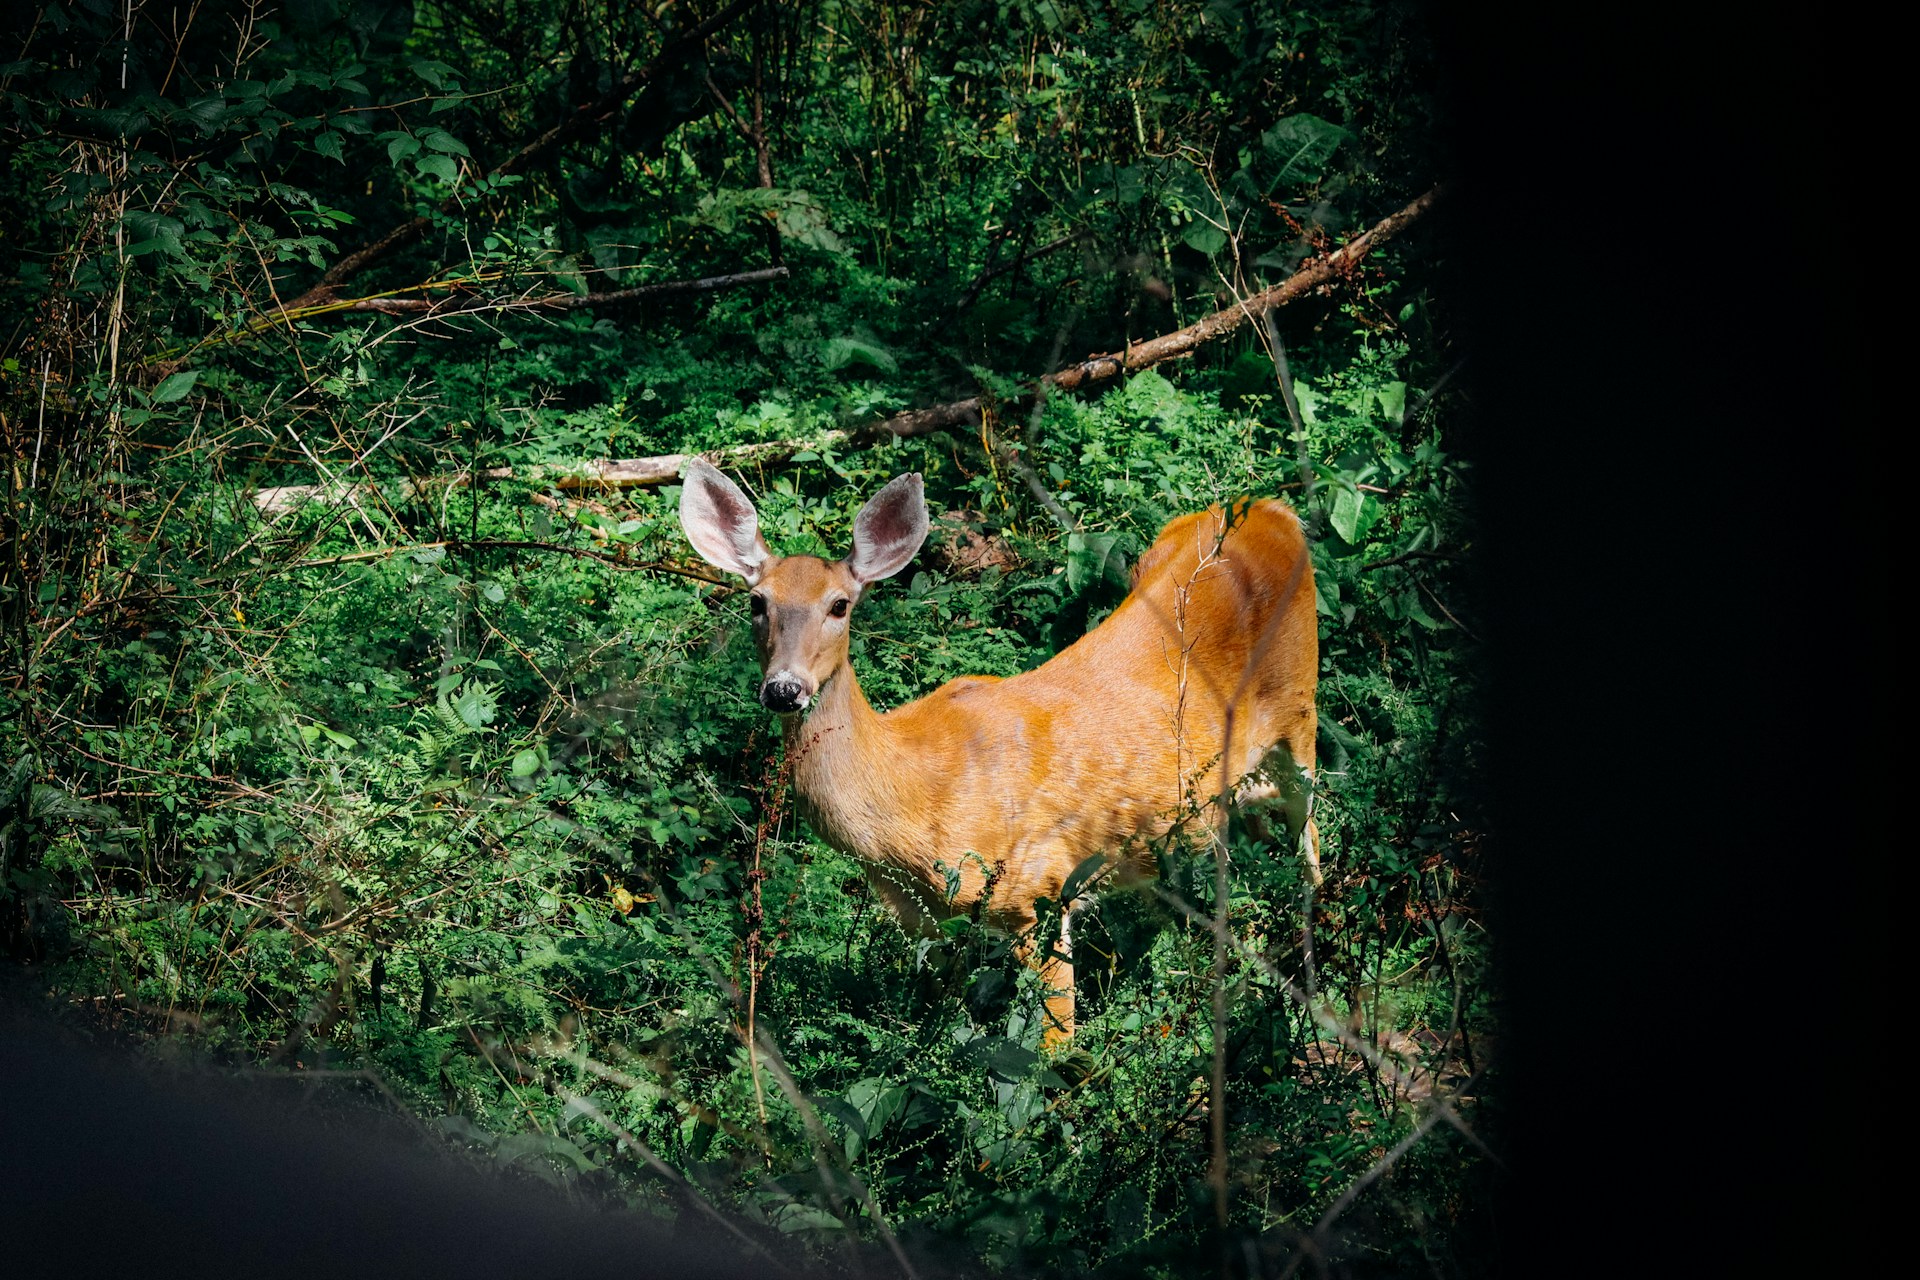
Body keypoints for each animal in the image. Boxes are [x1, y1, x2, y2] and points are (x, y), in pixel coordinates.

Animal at [678, 460, 1319, 1046]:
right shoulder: (923, 920)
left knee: (1309, 825)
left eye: (839, 605)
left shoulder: (1039, 887)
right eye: (757, 602)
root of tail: (1274, 511)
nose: (784, 689)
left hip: (1300, 707)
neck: (910, 807)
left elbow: (1057, 1045)